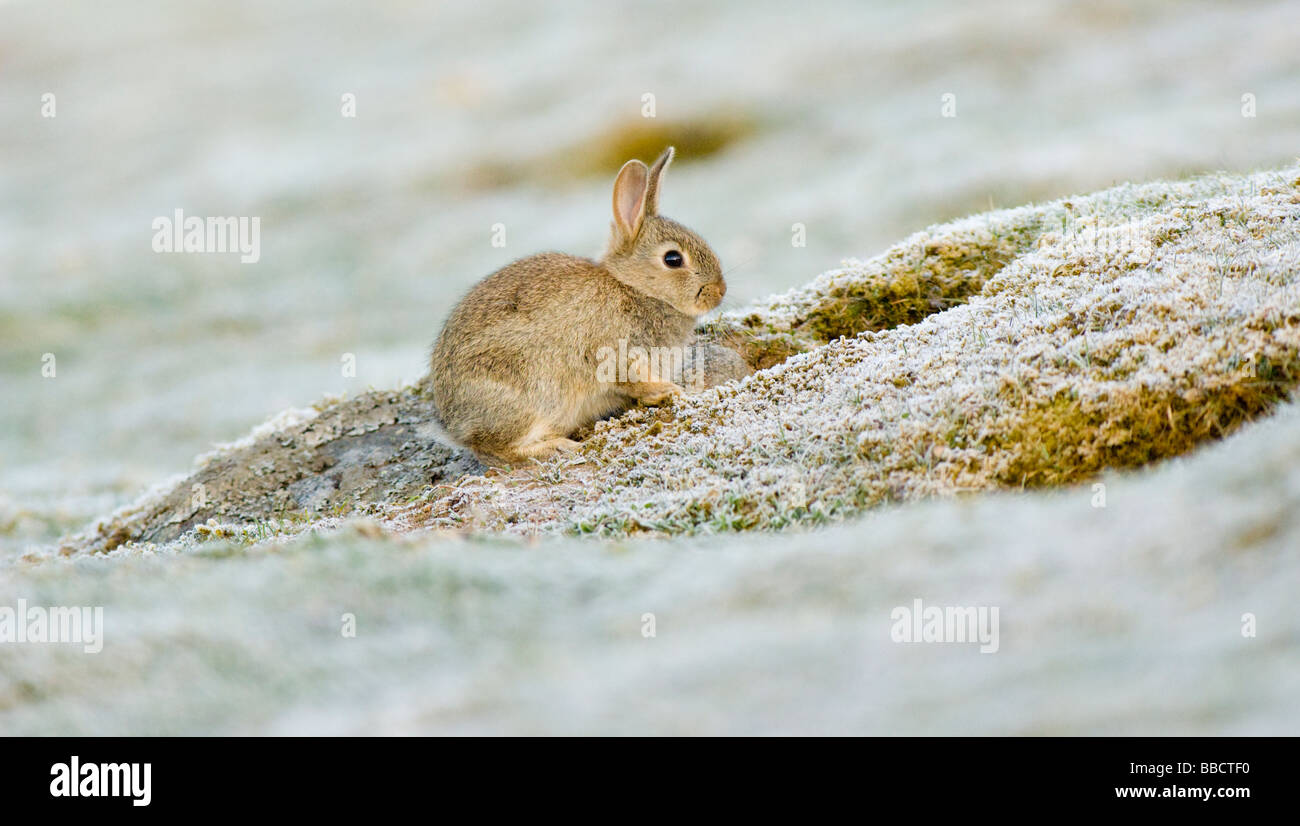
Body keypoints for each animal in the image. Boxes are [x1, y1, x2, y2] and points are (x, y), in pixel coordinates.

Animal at [430, 146, 727, 465]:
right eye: (673, 259)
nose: (719, 292)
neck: (634, 288)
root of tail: (454, 424)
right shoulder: (615, 355)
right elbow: (632, 380)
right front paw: (668, 391)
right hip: (526, 399)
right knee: (494, 448)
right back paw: (557, 447)